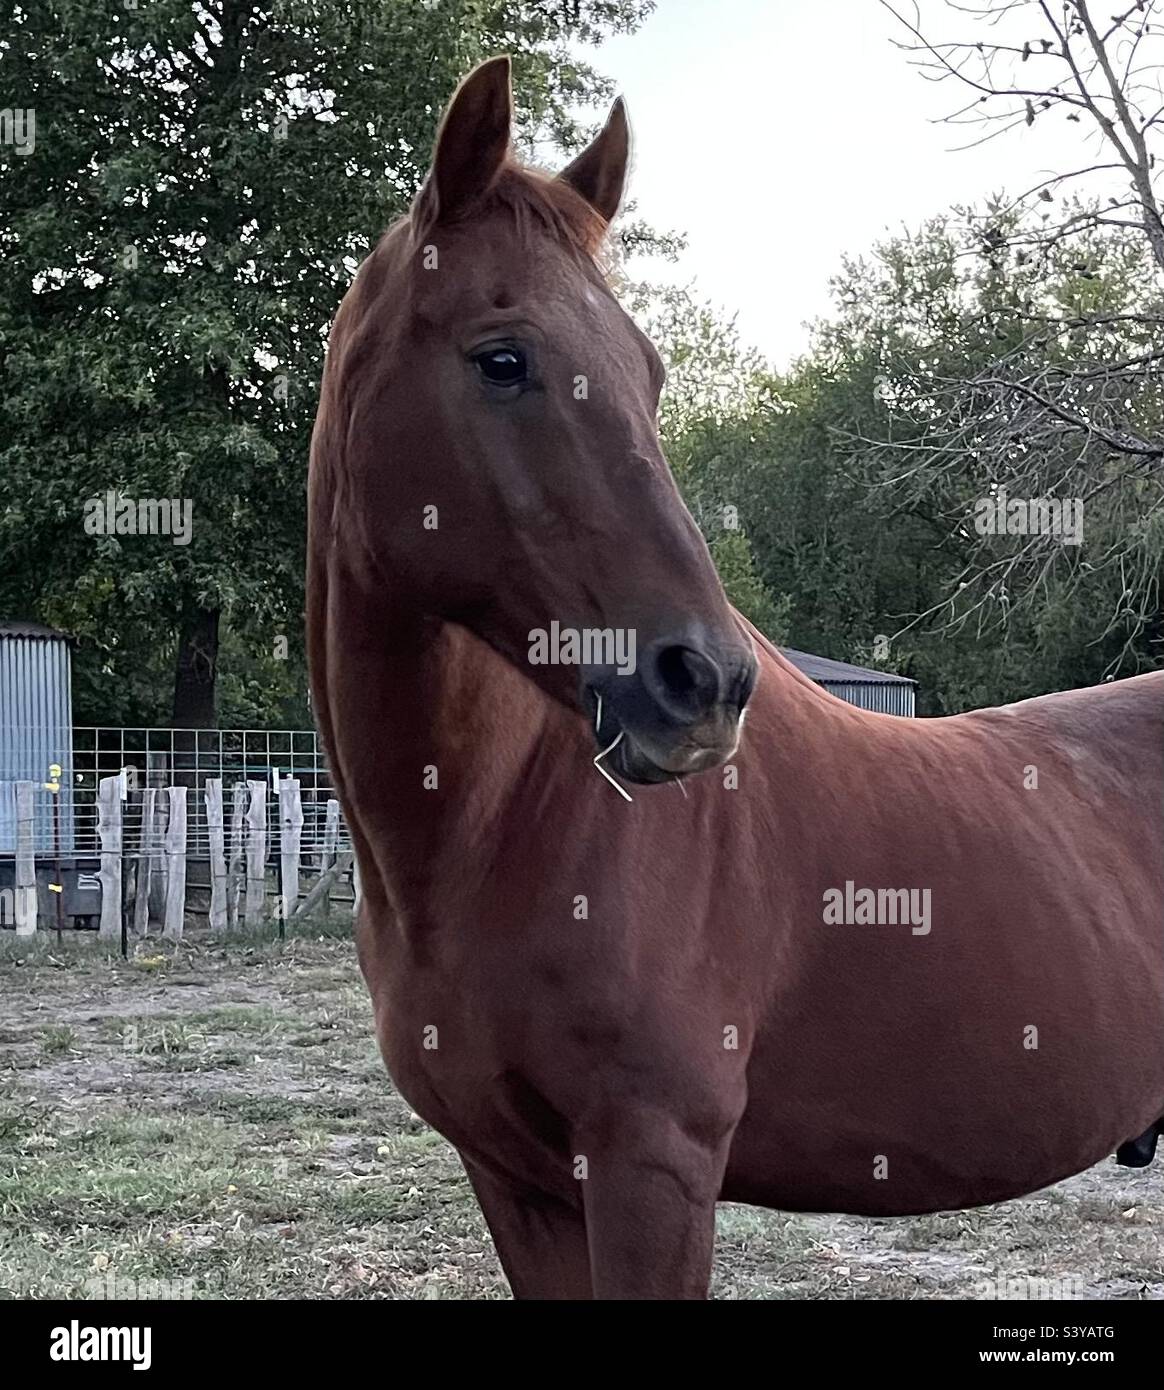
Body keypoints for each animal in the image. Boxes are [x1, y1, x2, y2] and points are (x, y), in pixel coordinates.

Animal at [307, 55, 1164, 1299]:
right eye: (502, 358)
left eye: (651, 373)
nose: (703, 685)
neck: (503, 827)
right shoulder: (514, 1180)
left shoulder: (653, 1166)